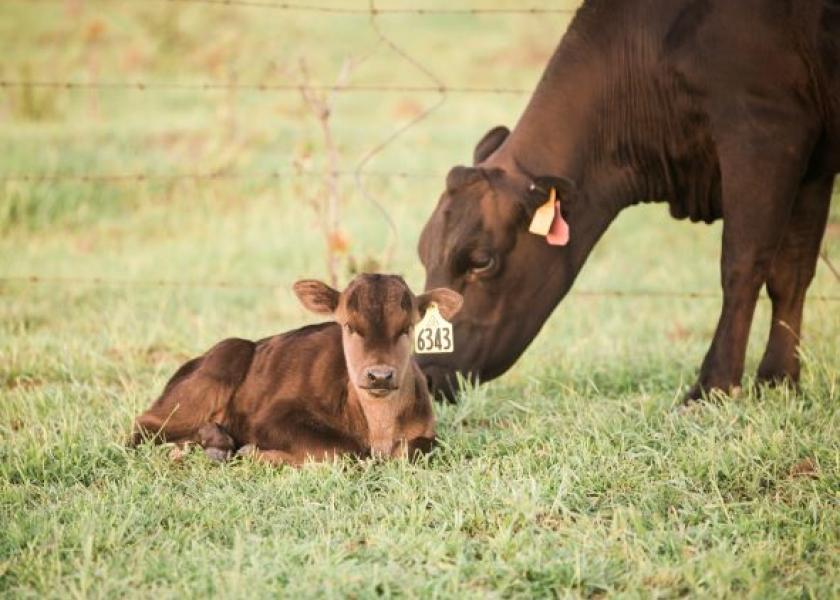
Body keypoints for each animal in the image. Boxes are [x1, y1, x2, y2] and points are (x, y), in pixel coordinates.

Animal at [130, 274, 463, 464]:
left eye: (407, 328)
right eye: (349, 326)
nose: (379, 375)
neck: (379, 430)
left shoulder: (426, 432)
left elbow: (417, 450)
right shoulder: (272, 417)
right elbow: (341, 450)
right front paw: (257, 455)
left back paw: (217, 443)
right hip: (220, 361)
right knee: (144, 428)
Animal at [418, 0, 839, 402]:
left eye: (480, 261)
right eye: (424, 254)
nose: (423, 375)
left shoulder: (763, 130)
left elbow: (742, 265)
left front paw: (712, 386)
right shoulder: (813, 162)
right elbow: (791, 274)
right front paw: (779, 381)